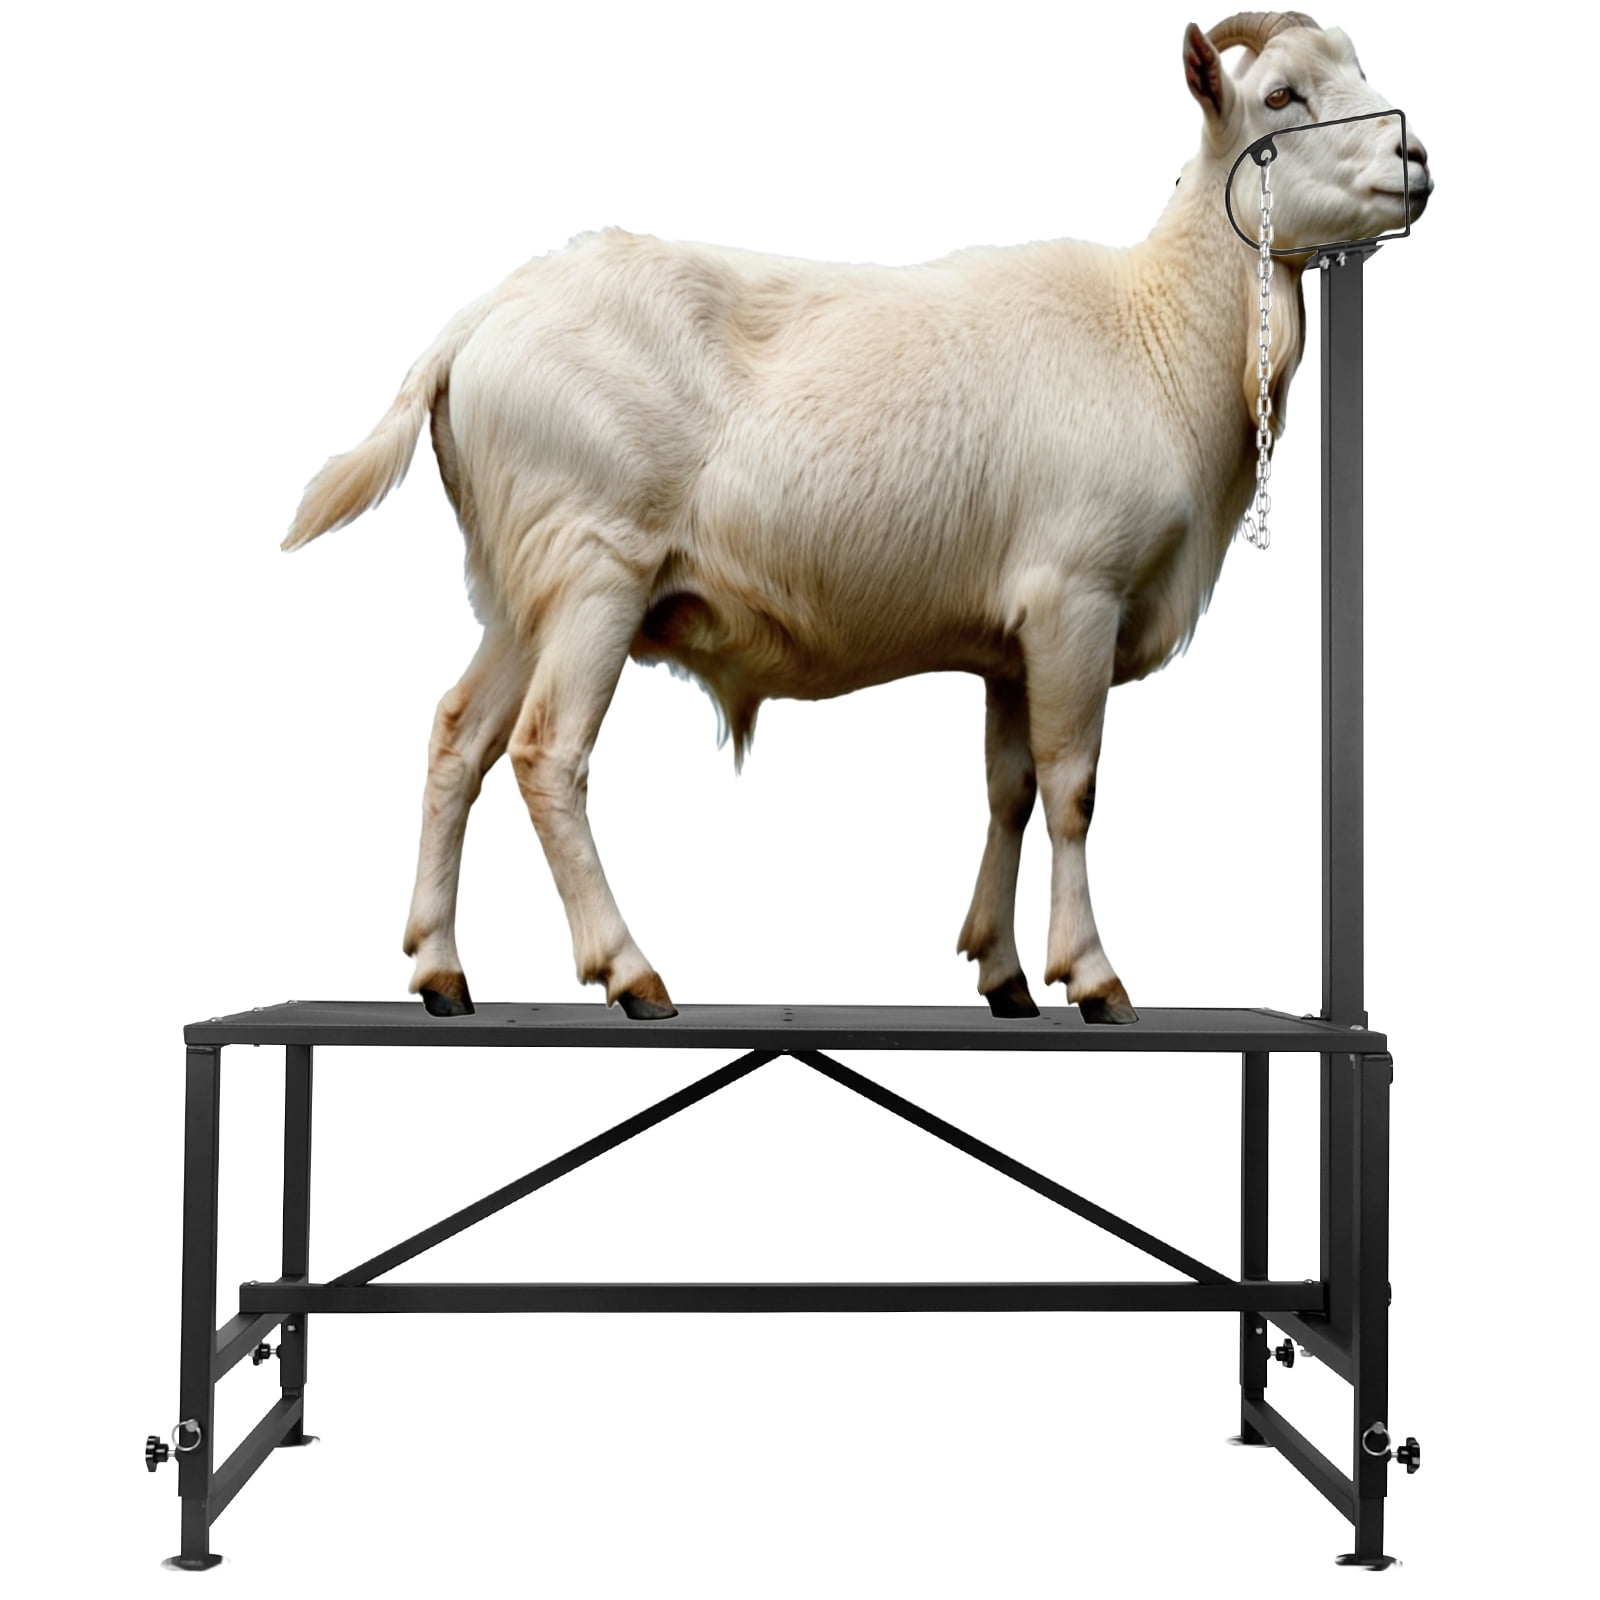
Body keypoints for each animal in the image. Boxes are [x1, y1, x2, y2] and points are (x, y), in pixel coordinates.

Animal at [284, 12, 1431, 1023]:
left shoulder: (1012, 639)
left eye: (1358, 70)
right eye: (1279, 96)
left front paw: (1003, 975)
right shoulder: (1077, 595)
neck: (1151, 329)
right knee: (545, 753)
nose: (1414, 153)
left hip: (522, 584)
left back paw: (441, 972)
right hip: (596, 566)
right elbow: (1074, 789)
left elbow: (1009, 789)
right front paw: (1095, 977)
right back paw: (630, 972)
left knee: (456, 736)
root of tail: (477, 321)